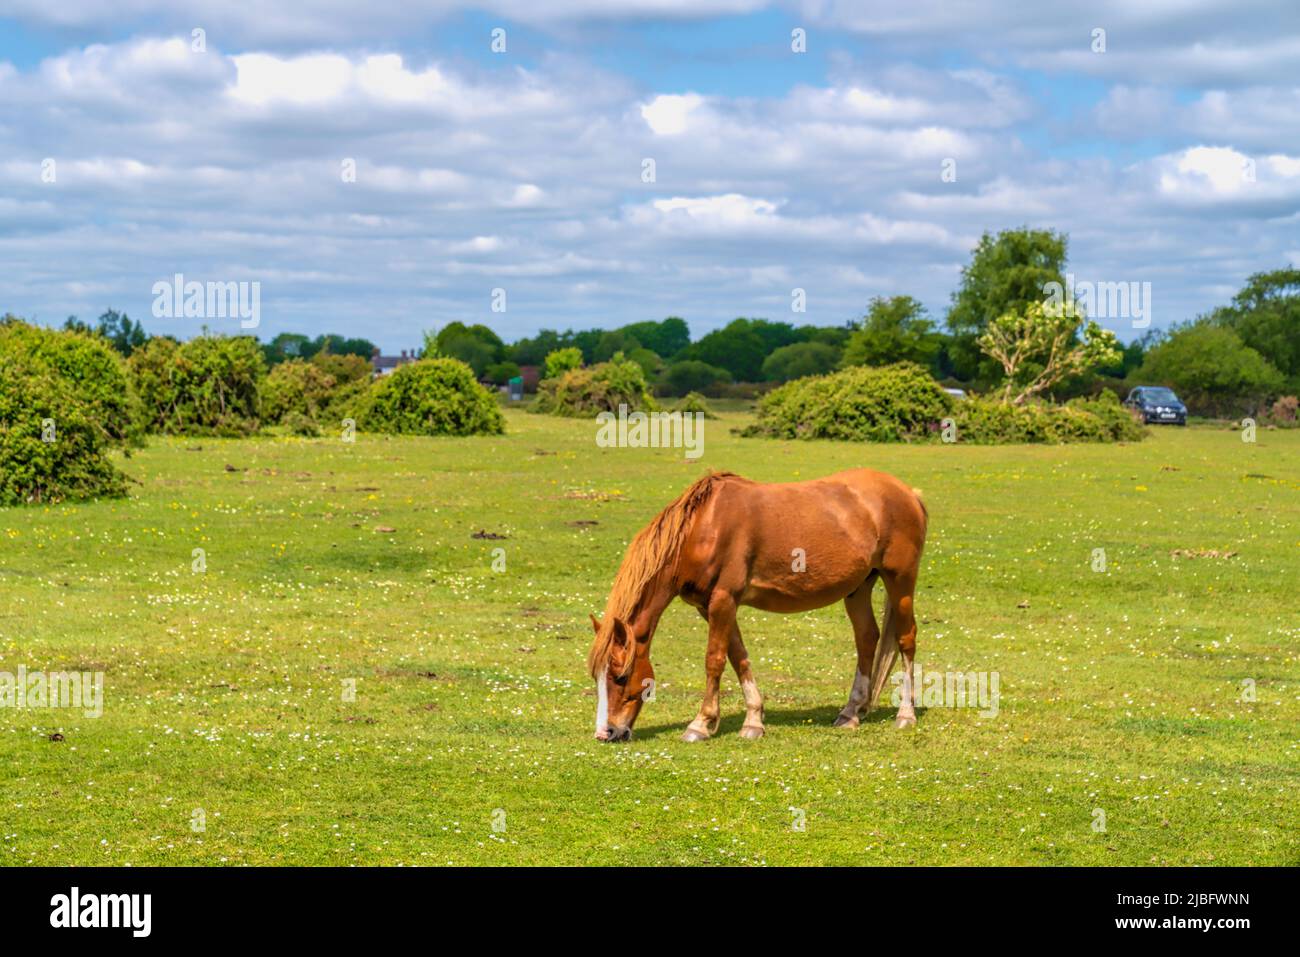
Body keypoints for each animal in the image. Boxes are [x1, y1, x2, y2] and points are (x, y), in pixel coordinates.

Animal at [587, 468, 928, 742]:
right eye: (597, 677)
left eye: (620, 676)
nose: (606, 732)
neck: (703, 528)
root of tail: (908, 493)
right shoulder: (710, 606)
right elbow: (738, 657)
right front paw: (753, 721)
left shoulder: (723, 599)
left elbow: (715, 660)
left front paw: (700, 724)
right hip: (859, 588)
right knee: (867, 639)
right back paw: (851, 713)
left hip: (900, 580)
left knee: (906, 639)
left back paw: (905, 715)